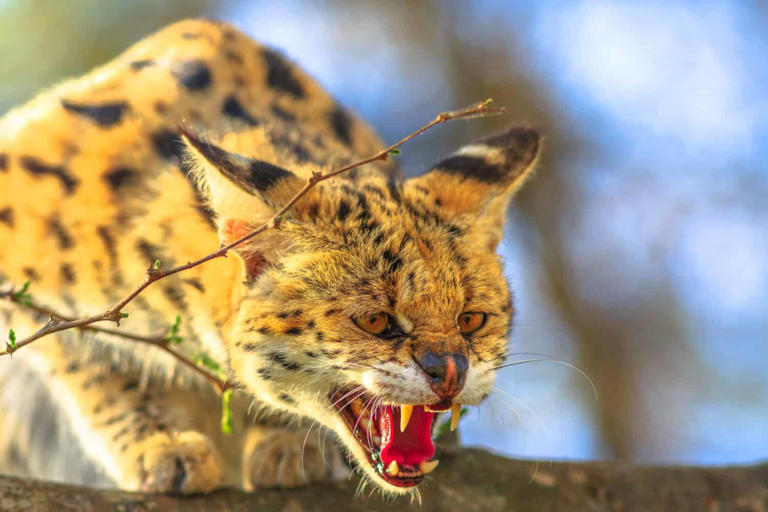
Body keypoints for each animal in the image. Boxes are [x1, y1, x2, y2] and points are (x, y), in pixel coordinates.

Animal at [0, 19, 540, 496]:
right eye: (373, 321)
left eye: (471, 319)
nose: (450, 372)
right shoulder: (26, 289)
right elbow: (97, 369)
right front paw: (162, 446)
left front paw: (286, 446)